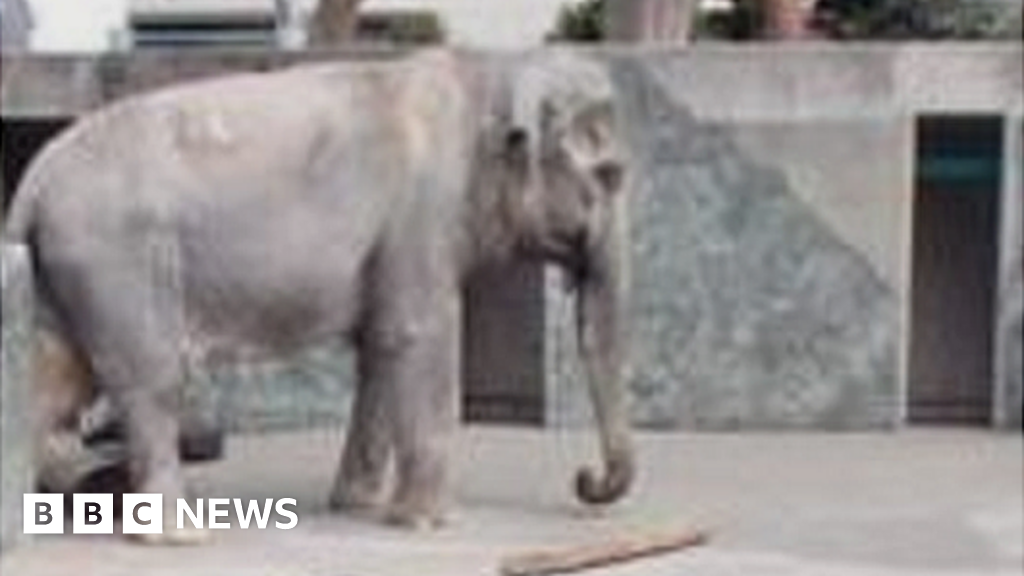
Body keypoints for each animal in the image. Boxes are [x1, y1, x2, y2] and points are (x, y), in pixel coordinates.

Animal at [3, 49, 634, 541]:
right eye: (610, 176)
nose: (585, 480)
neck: (486, 74)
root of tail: (32, 180)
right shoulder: (423, 214)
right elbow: (416, 332)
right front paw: (428, 523)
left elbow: (380, 344)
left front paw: (358, 506)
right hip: (118, 261)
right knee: (150, 379)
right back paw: (179, 536)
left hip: (72, 270)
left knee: (57, 377)